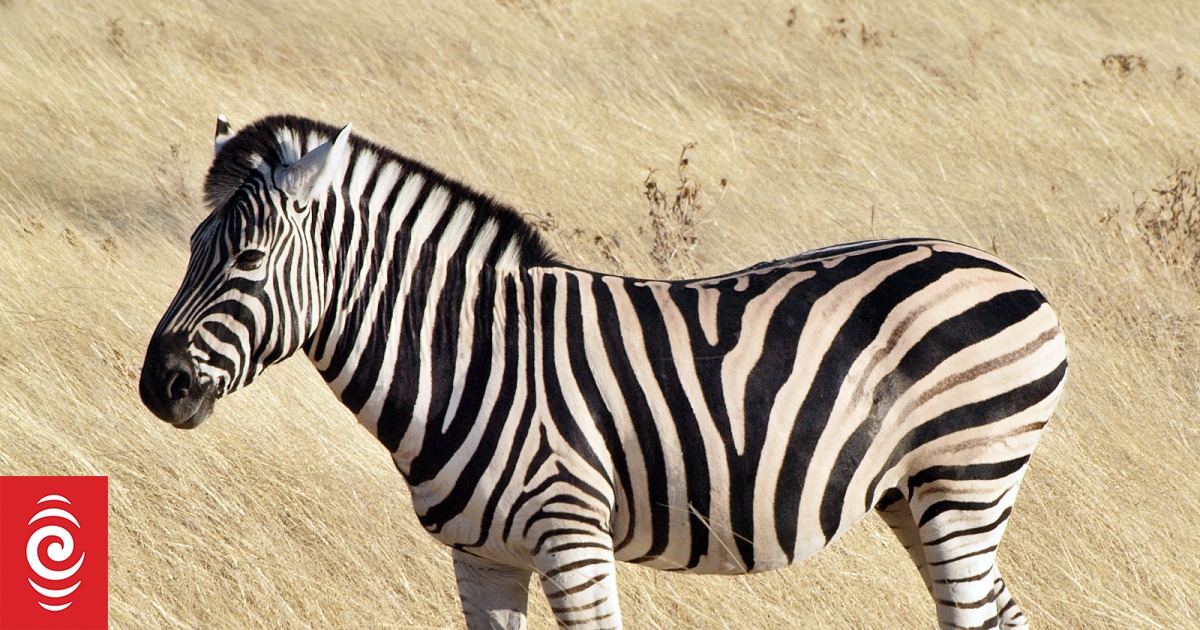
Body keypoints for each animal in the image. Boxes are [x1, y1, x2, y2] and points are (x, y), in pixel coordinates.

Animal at [140, 114, 1068, 629]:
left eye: (248, 259)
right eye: (190, 247)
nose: (159, 387)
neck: (470, 356)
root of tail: (1012, 275)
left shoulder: (572, 534)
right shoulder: (483, 558)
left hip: (967, 480)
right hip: (917, 495)